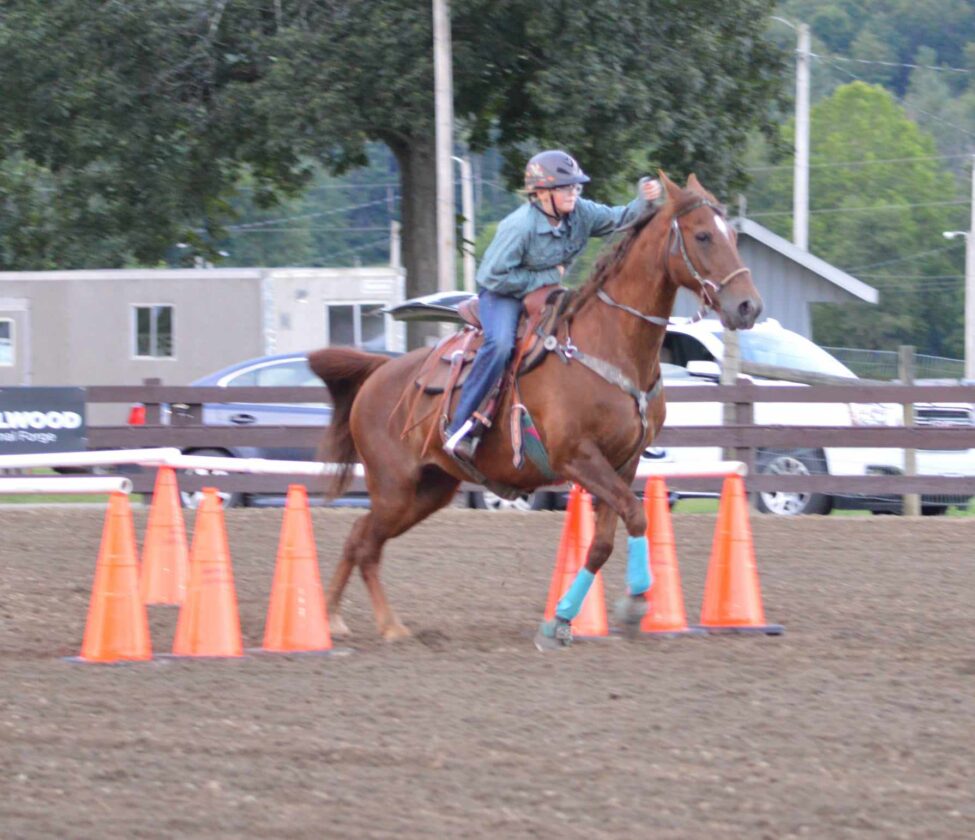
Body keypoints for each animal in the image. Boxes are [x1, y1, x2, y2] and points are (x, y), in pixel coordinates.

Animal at [308, 171, 762, 648]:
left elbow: (605, 540)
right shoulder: (578, 458)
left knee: (362, 540)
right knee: (363, 541)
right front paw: (632, 604)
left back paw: (341, 619)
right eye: (703, 235)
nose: (748, 306)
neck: (611, 346)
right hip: (394, 488)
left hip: (429, 490)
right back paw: (377, 624)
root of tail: (379, 372)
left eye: (733, 235)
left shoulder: (625, 463)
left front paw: (564, 618)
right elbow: (636, 516)